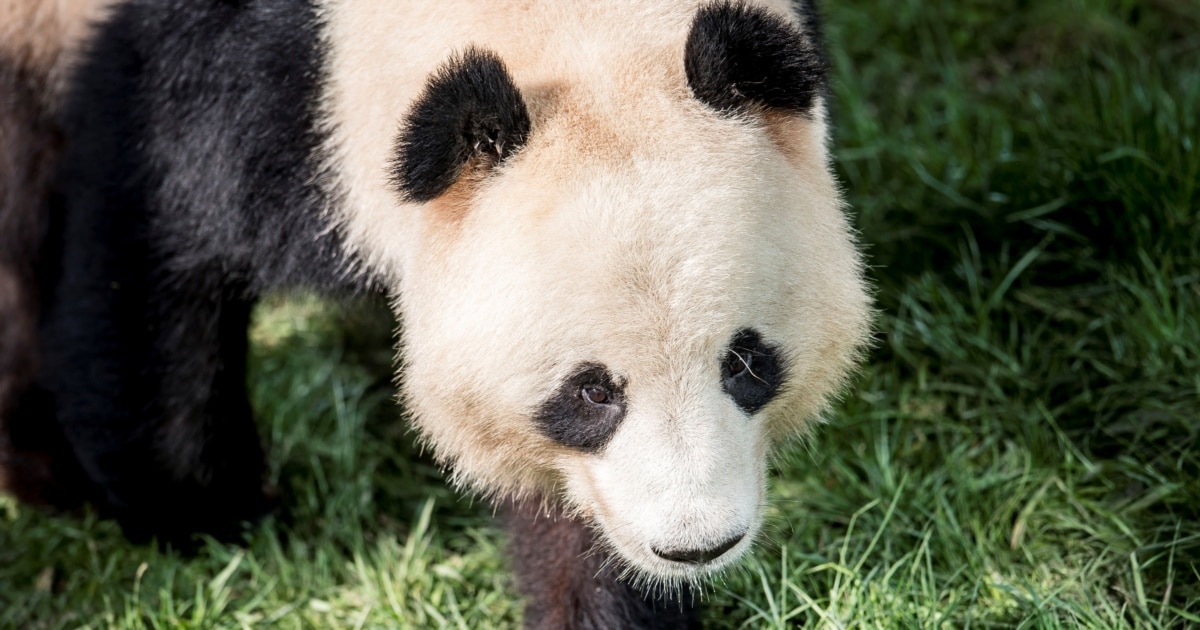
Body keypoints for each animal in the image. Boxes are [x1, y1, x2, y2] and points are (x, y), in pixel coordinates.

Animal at [0, 0, 872, 627]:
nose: (696, 545)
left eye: (747, 363)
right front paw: (212, 520)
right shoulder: (231, 79)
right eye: (591, 392)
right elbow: (147, 255)